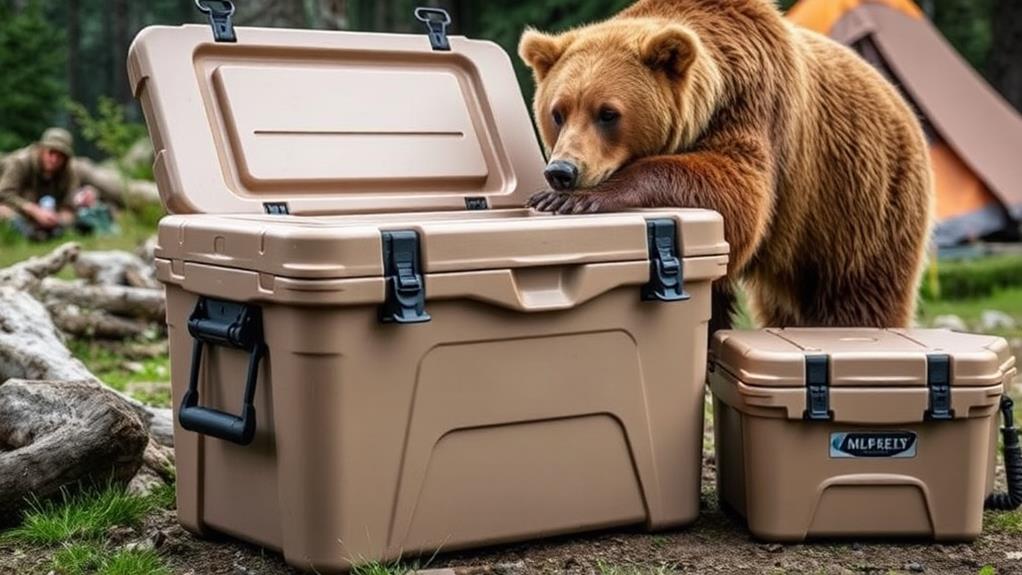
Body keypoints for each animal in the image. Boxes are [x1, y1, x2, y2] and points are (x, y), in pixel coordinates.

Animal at [519, 0, 933, 330]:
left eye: (607, 113)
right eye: (558, 112)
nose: (562, 172)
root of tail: (900, 103)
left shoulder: (756, 105)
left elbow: (740, 196)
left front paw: (579, 199)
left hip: (860, 204)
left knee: (859, 293)